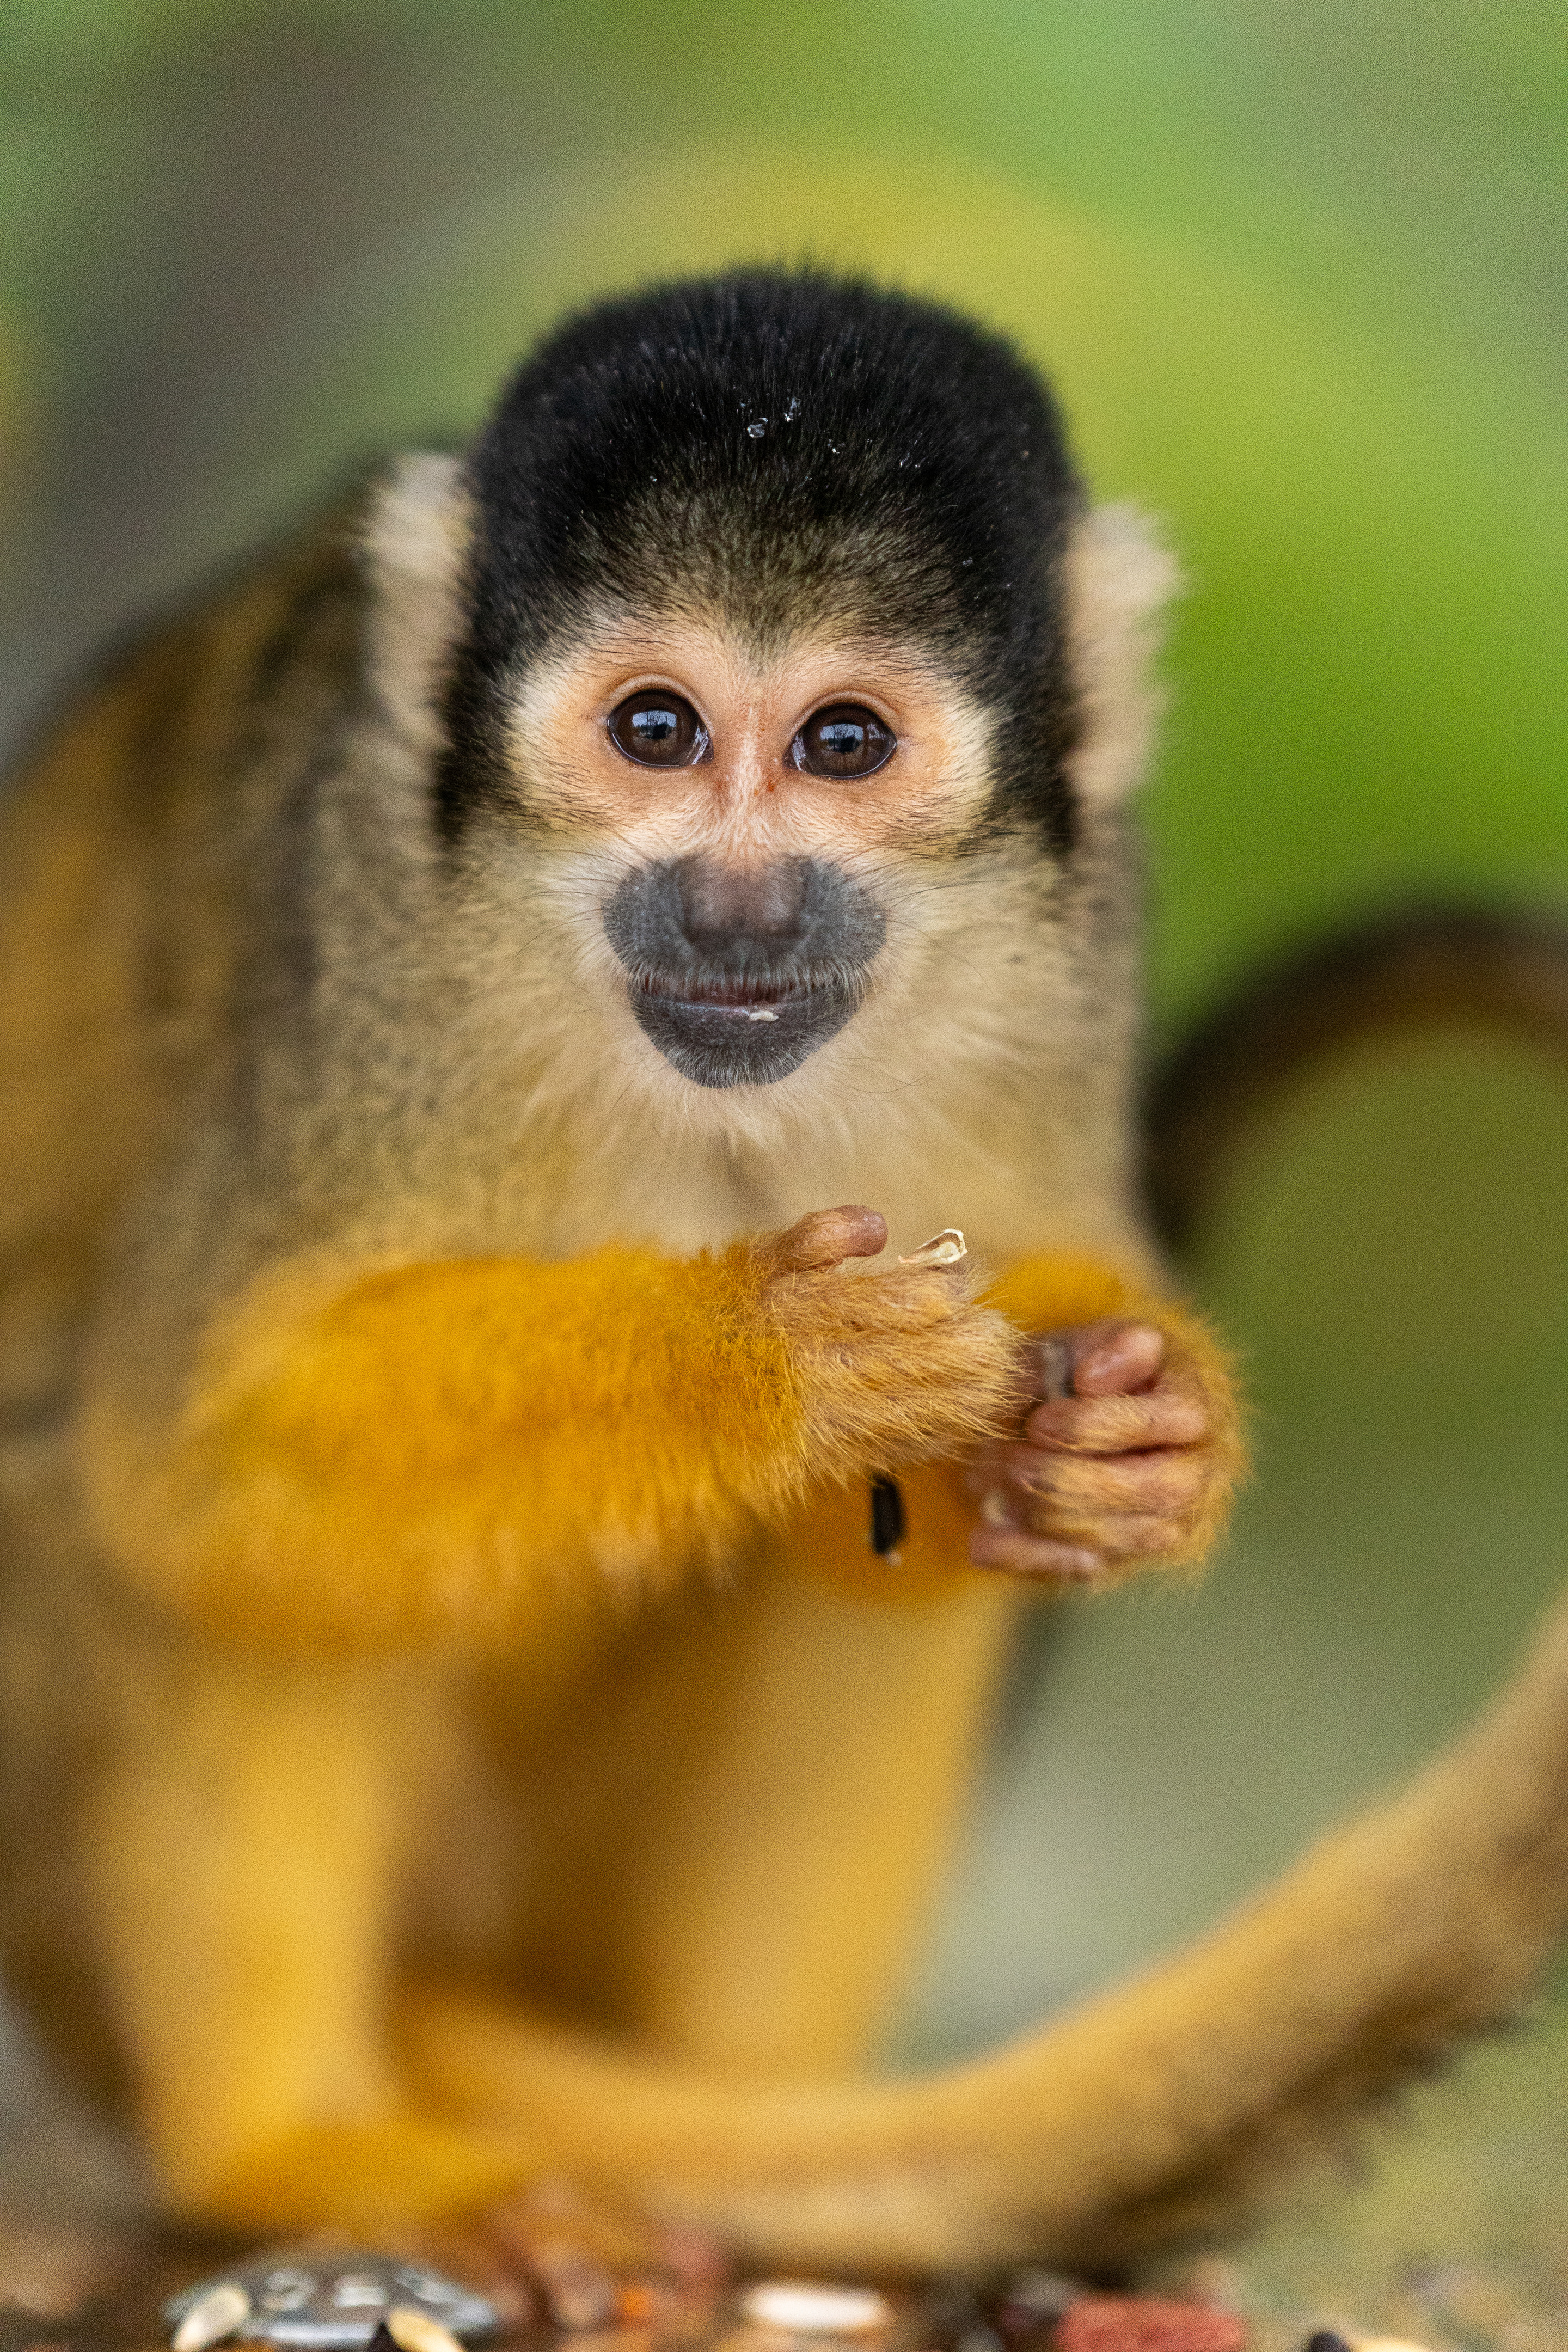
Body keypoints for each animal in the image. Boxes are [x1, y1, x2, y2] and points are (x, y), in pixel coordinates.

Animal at [1, 268, 1567, 2271]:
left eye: (842, 746)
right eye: (657, 729)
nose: (736, 906)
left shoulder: (1074, 950)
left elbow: (967, 1466)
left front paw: (1146, 1434)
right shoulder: (353, 942)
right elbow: (197, 1460)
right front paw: (776, 1359)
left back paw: (740, 2109)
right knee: (144, 1511)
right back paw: (292, 2140)